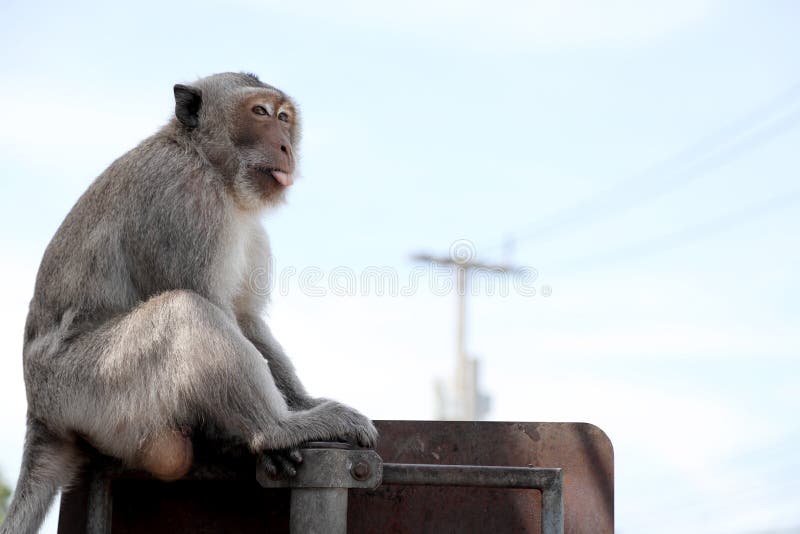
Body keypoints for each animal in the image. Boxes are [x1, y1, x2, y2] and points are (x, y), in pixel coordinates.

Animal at [0, 72, 378, 534]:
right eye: (260, 112)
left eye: (284, 117)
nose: (285, 146)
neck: (208, 162)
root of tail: (40, 413)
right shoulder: (185, 199)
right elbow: (211, 304)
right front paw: (285, 424)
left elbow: (245, 319)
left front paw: (304, 403)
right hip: (90, 390)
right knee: (185, 309)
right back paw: (276, 430)